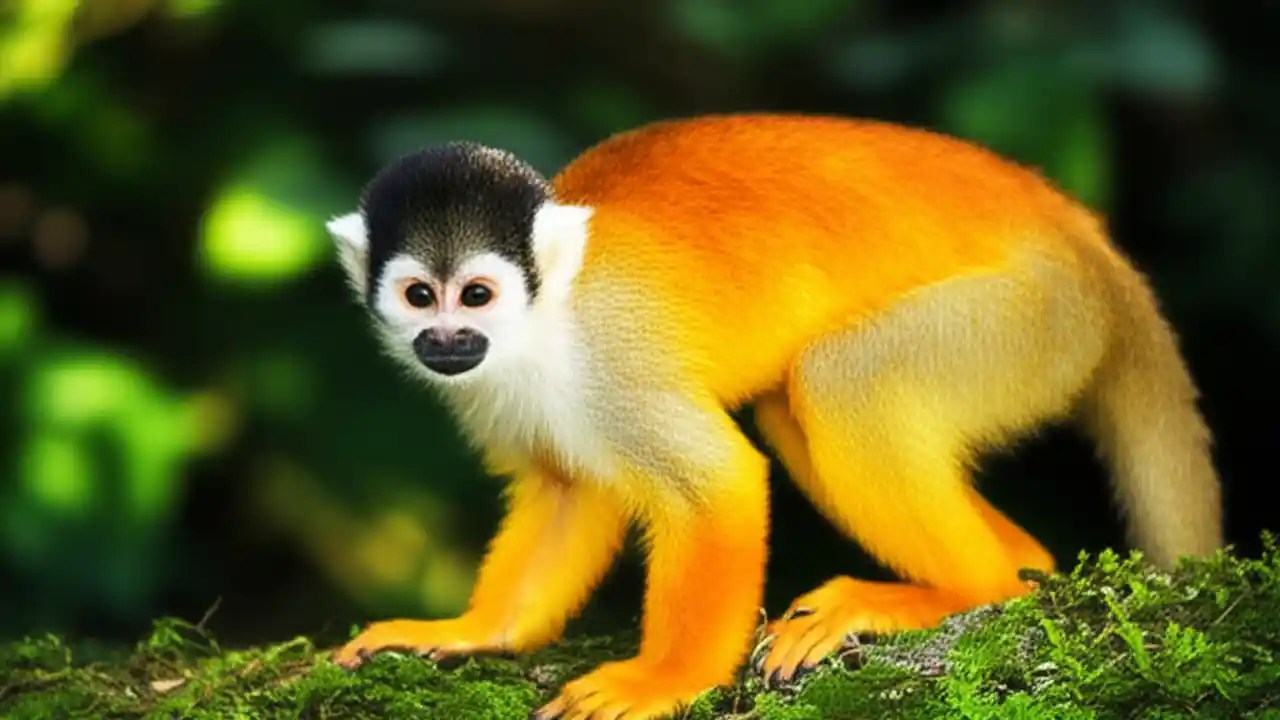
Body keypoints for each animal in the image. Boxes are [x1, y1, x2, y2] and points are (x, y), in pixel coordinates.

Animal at [324, 114, 1221, 719]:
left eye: (476, 294)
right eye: (420, 296)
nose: (447, 340)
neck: (544, 329)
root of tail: (1083, 236)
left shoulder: (614, 365)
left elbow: (716, 486)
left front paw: (665, 680)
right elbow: (565, 488)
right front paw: (472, 629)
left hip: (1031, 321)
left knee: (841, 383)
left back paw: (967, 588)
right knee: (798, 404)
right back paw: (1024, 568)